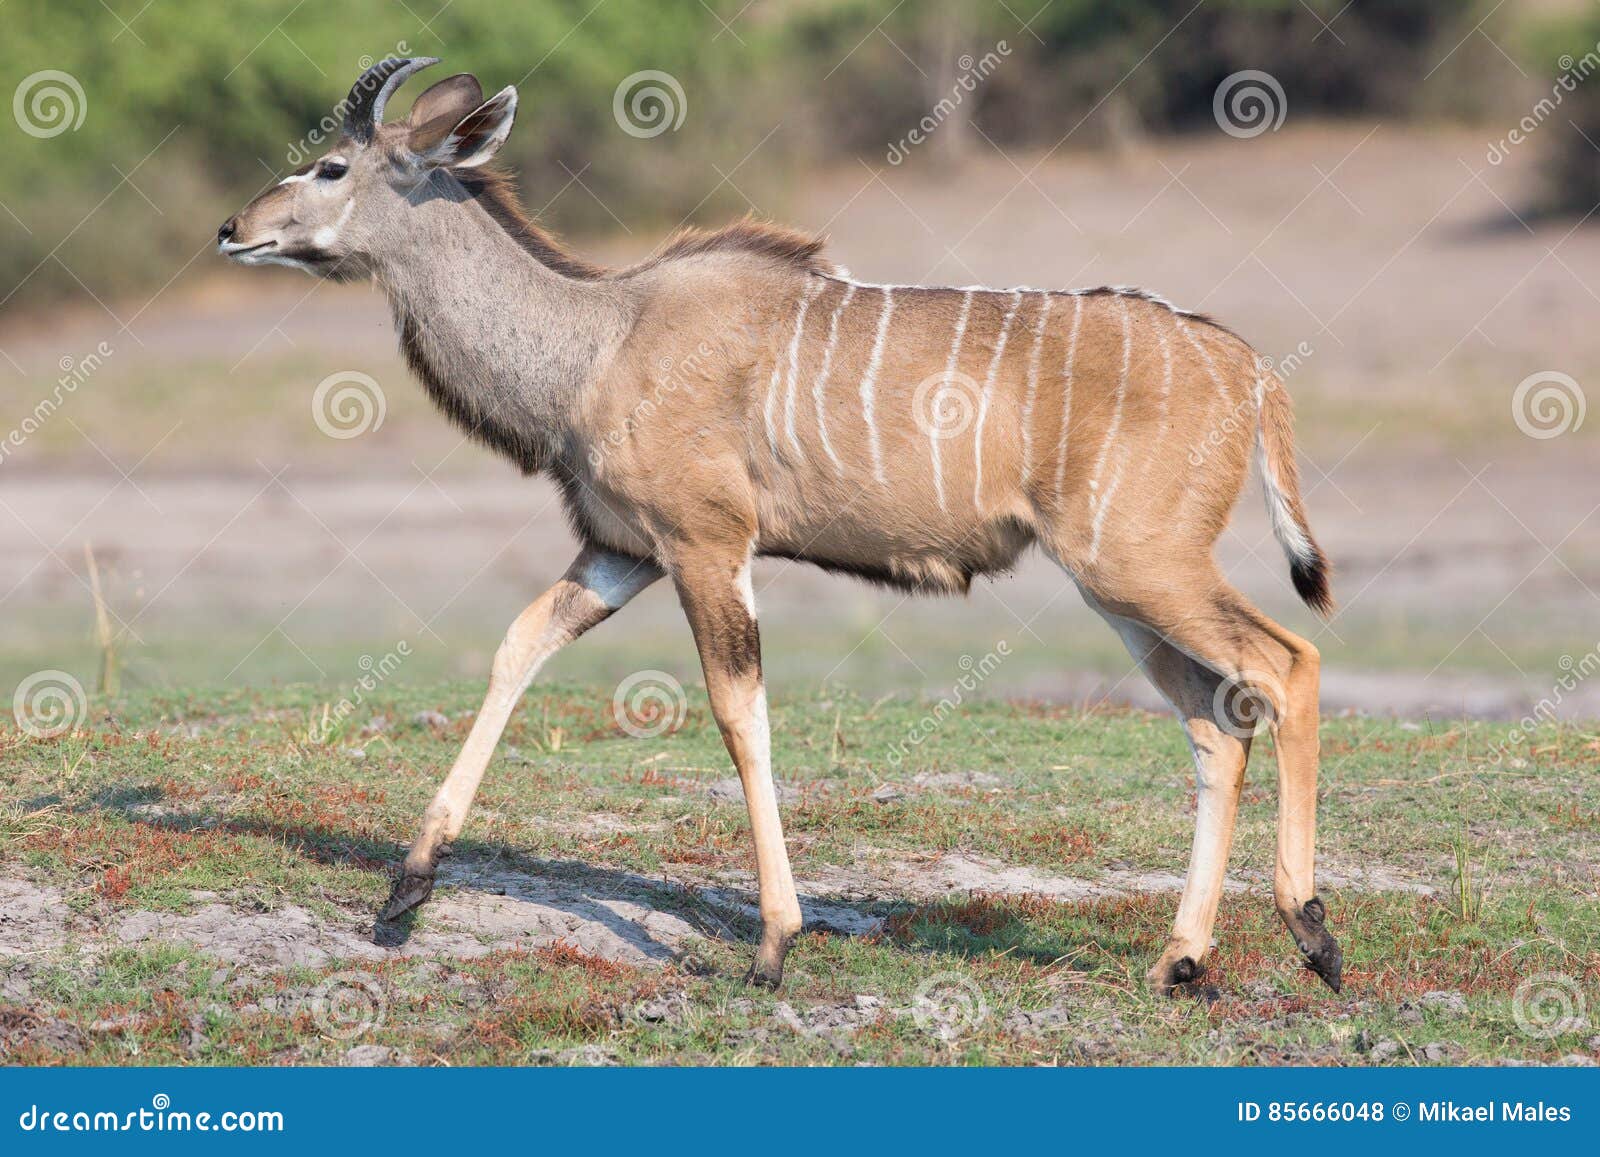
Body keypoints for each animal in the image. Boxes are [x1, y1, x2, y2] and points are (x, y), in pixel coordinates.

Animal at [216, 57, 1342, 995]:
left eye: (331, 164)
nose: (234, 228)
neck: (599, 339)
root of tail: (1247, 366)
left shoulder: (706, 545)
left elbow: (736, 711)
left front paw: (772, 943)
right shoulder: (622, 550)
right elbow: (519, 643)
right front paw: (405, 891)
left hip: (1141, 566)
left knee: (1286, 665)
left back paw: (1312, 932)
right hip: (1119, 591)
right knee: (1213, 718)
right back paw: (1180, 959)